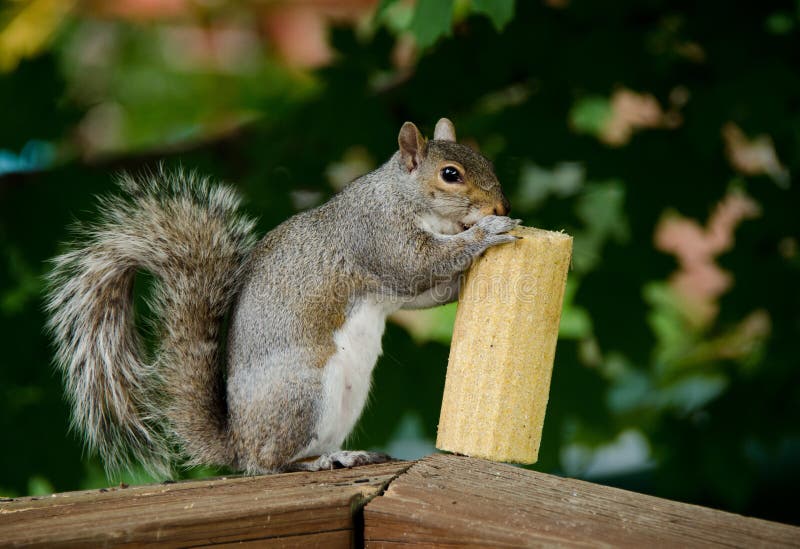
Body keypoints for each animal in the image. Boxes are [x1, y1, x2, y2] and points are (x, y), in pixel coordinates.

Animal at [45, 118, 518, 477]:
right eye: (450, 174)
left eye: (488, 161)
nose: (500, 208)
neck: (400, 195)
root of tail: (237, 443)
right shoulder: (378, 237)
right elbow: (419, 264)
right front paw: (485, 234)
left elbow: (425, 292)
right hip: (303, 391)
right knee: (270, 463)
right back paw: (321, 460)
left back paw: (349, 454)